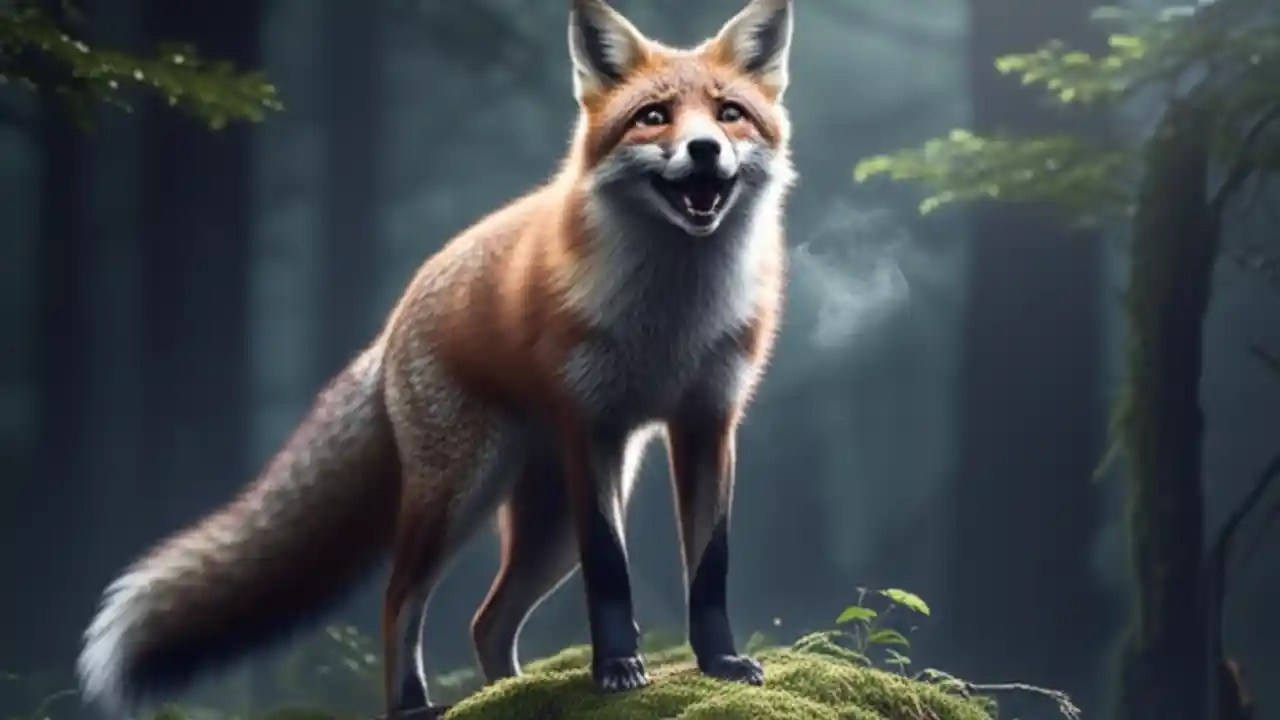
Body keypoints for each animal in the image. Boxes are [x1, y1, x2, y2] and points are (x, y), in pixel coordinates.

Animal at [77, 0, 796, 716]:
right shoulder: (591, 429)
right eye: (654, 117)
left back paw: (511, 691)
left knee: (486, 623)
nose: (705, 149)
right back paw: (413, 704)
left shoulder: (707, 423)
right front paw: (618, 667)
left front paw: (720, 664)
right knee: (400, 598)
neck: (672, 320)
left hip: (550, 527)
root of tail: (395, 319)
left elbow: (710, 568)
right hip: (461, 495)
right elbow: (611, 575)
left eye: (729, 113)